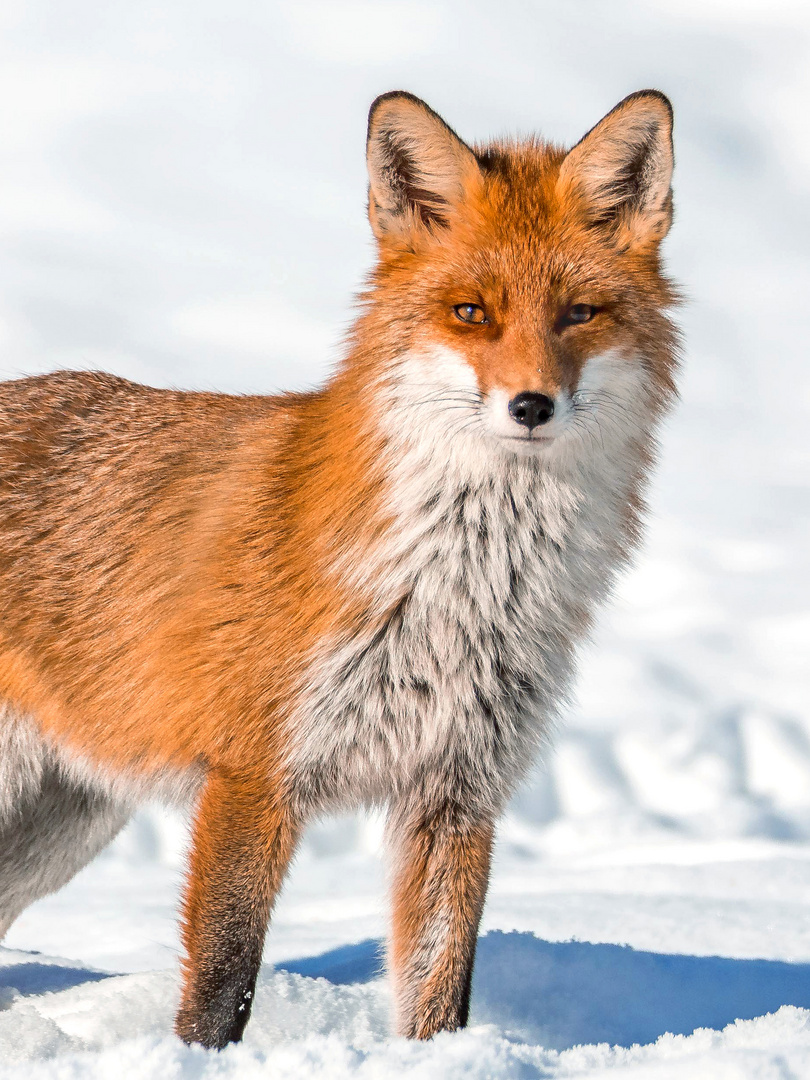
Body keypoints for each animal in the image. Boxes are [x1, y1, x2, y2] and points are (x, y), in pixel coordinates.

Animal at [0, 90, 678, 1045]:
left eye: (580, 313)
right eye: (472, 312)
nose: (531, 406)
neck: (454, 590)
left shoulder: (457, 790)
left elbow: (438, 990)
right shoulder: (255, 775)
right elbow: (223, 983)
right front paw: (201, 1060)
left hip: (62, 825)